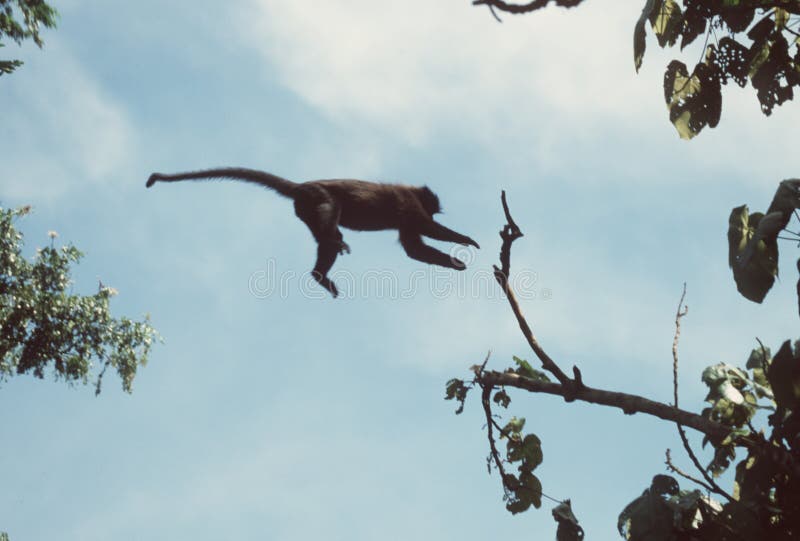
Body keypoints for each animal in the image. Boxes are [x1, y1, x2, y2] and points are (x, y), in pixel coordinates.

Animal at [146, 167, 480, 297]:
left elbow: (414, 248)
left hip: (305, 210)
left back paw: (319, 275)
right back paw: (333, 243)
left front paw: (456, 263)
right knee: (331, 214)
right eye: (433, 209)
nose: (434, 211)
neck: (412, 191)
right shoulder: (410, 205)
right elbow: (424, 229)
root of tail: (302, 186)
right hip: (317, 198)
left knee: (325, 240)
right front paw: (465, 242)